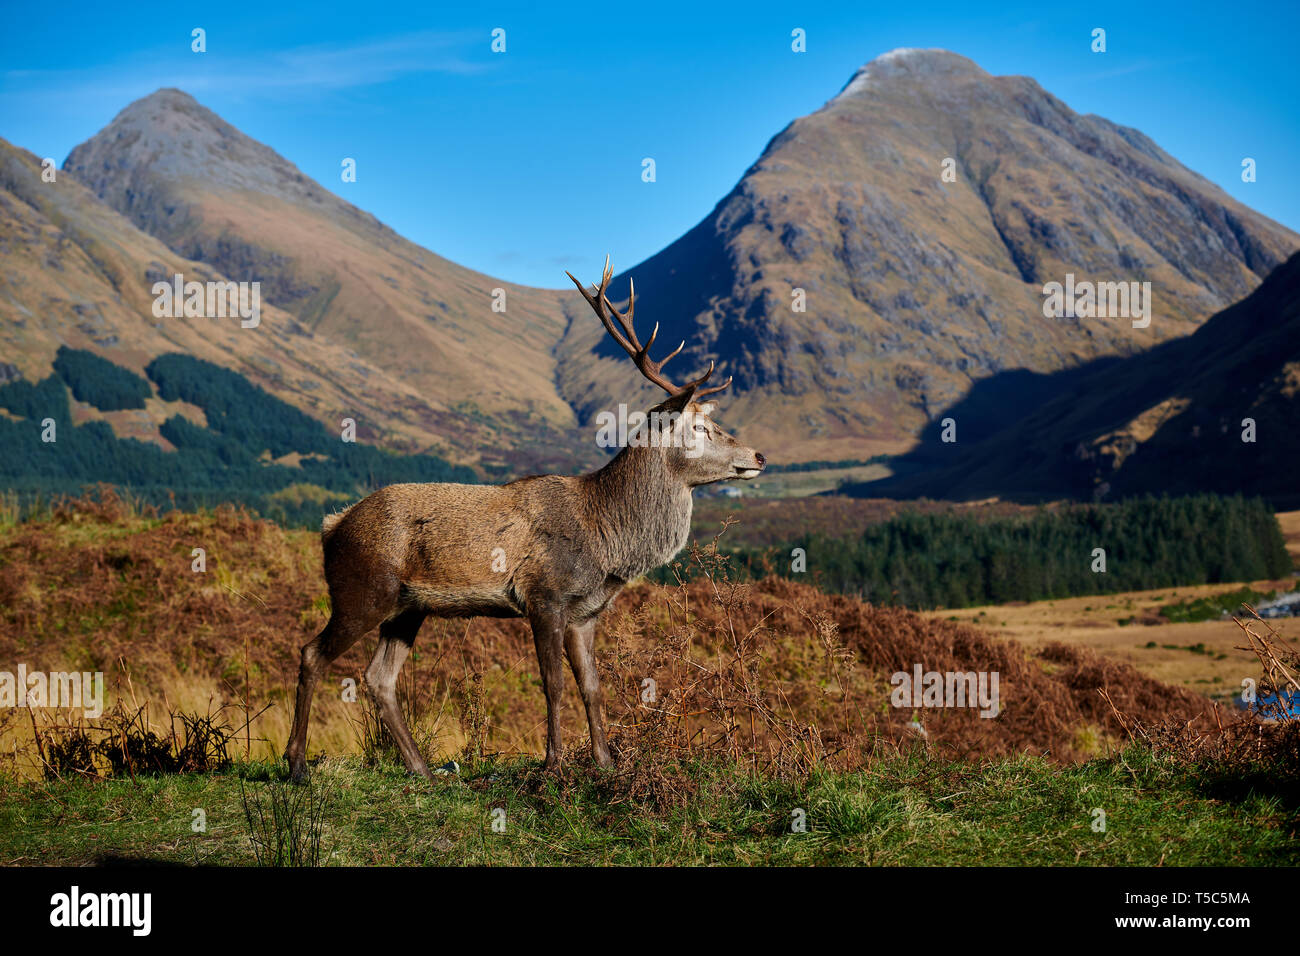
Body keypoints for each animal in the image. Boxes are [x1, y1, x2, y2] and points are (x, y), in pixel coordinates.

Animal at [284, 257, 766, 782]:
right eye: (699, 427)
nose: (758, 455)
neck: (606, 538)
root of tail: (331, 526)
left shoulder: (586, 612)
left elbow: (592, 687)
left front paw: (604, 763)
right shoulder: (544, 596)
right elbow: (552, 684)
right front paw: (553, 764)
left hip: (407, 608)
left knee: (379, 678)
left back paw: (422, 769)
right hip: (363, 591)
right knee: (312, 654)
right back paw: (297, 764)